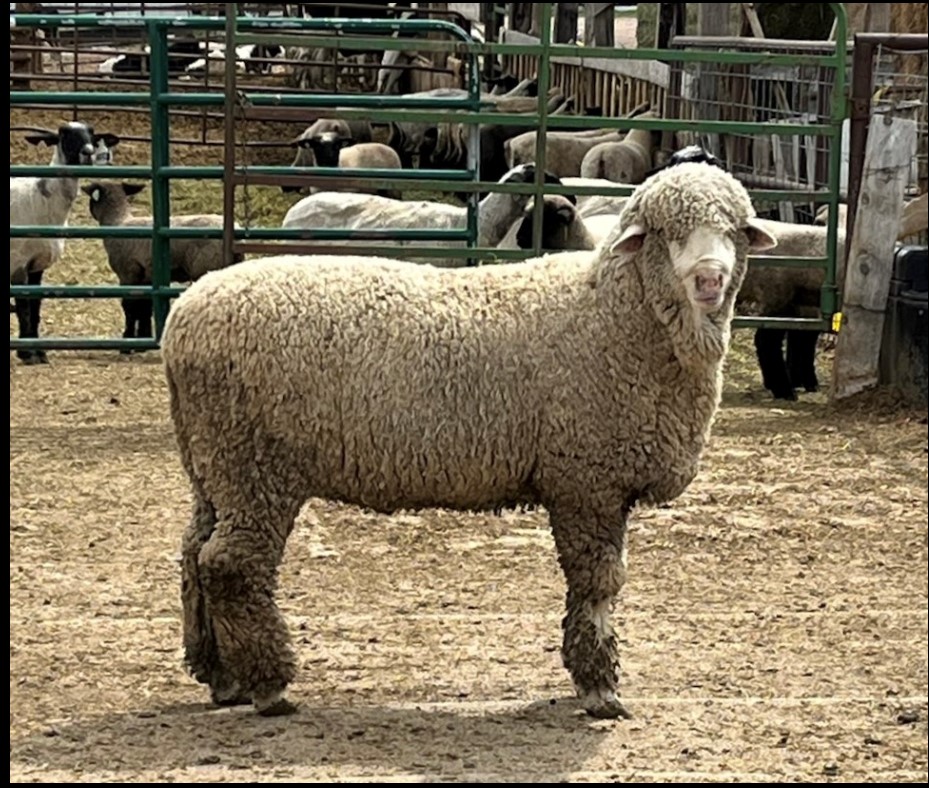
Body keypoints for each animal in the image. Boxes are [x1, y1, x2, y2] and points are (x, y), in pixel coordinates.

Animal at [10, 121, 120, 365]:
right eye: (65, 135)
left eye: (92, 135)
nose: (88, 152)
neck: (40, 198)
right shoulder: (19, 263)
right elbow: (23, 309)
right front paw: (26, 354)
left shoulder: (37, 265)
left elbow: (35, 307)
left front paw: (39, 353)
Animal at [80, 180, 243, 346]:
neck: (117, 223)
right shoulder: (146, 278)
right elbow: (144, 307)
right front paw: (143, 336)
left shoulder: (128, 274)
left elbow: (130, 307)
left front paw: (128, 339)